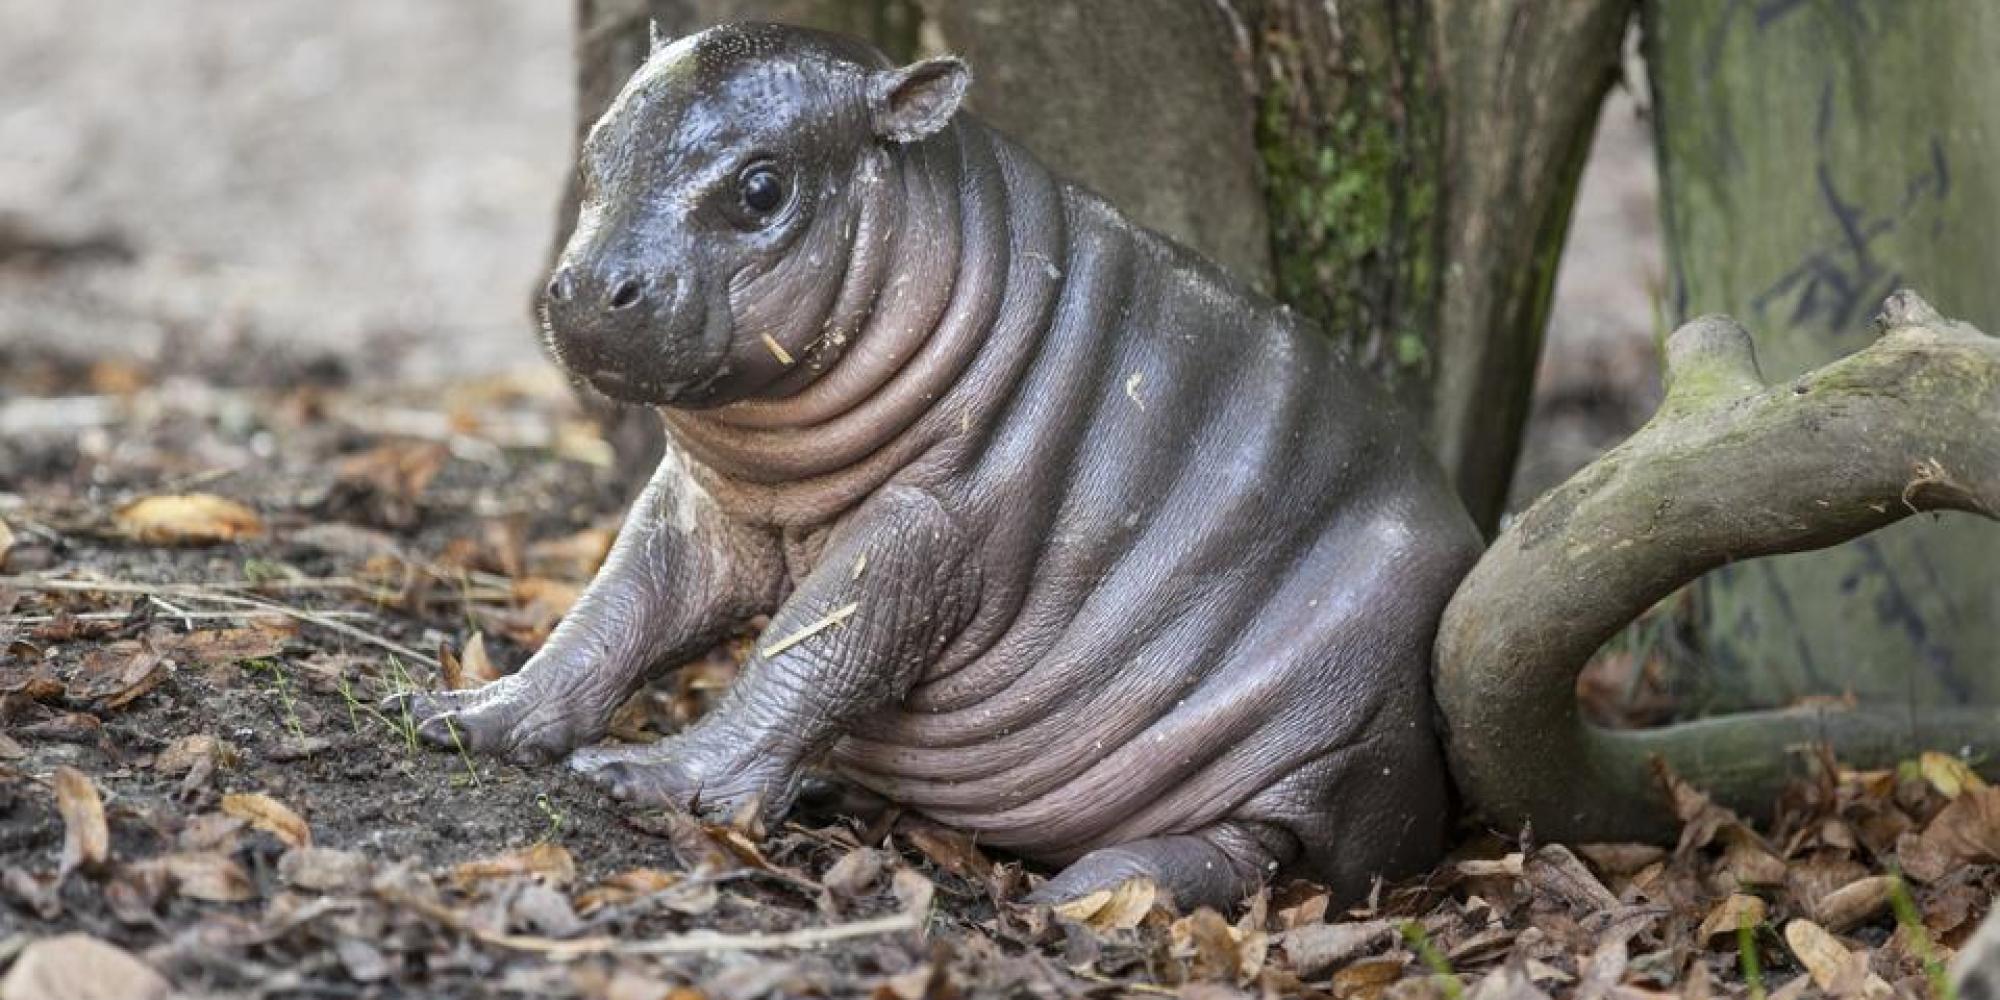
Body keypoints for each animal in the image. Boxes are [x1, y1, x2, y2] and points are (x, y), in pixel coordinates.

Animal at [393, 22, 1482, 909]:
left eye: (762, 187)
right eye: (593, 150)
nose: (585, 288)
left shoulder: (931, 527)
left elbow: (813, 649)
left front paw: (642, 777)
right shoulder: (701, 504)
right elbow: (615, 610)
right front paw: (460, 713)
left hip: (1338, 740)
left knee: (1255, 850)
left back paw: (1079, 898)